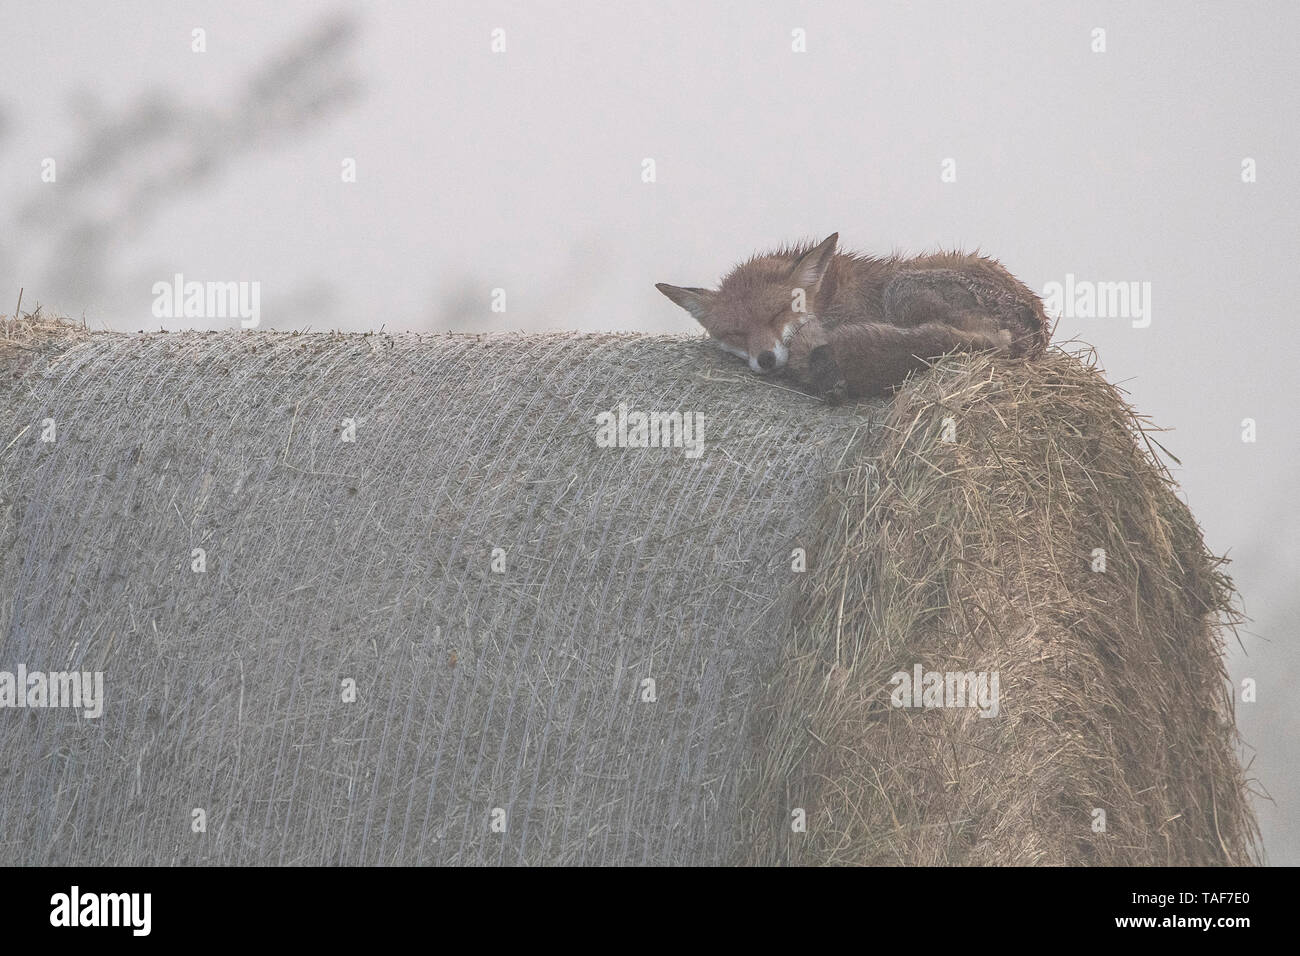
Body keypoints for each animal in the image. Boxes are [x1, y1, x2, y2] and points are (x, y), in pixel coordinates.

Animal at [656, 233, 1050, 399]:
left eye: (778, 313)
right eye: (736, 333)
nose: (765, 359)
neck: (828, 297)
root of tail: (1037, 334)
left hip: (903, 290)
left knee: (974, 340)